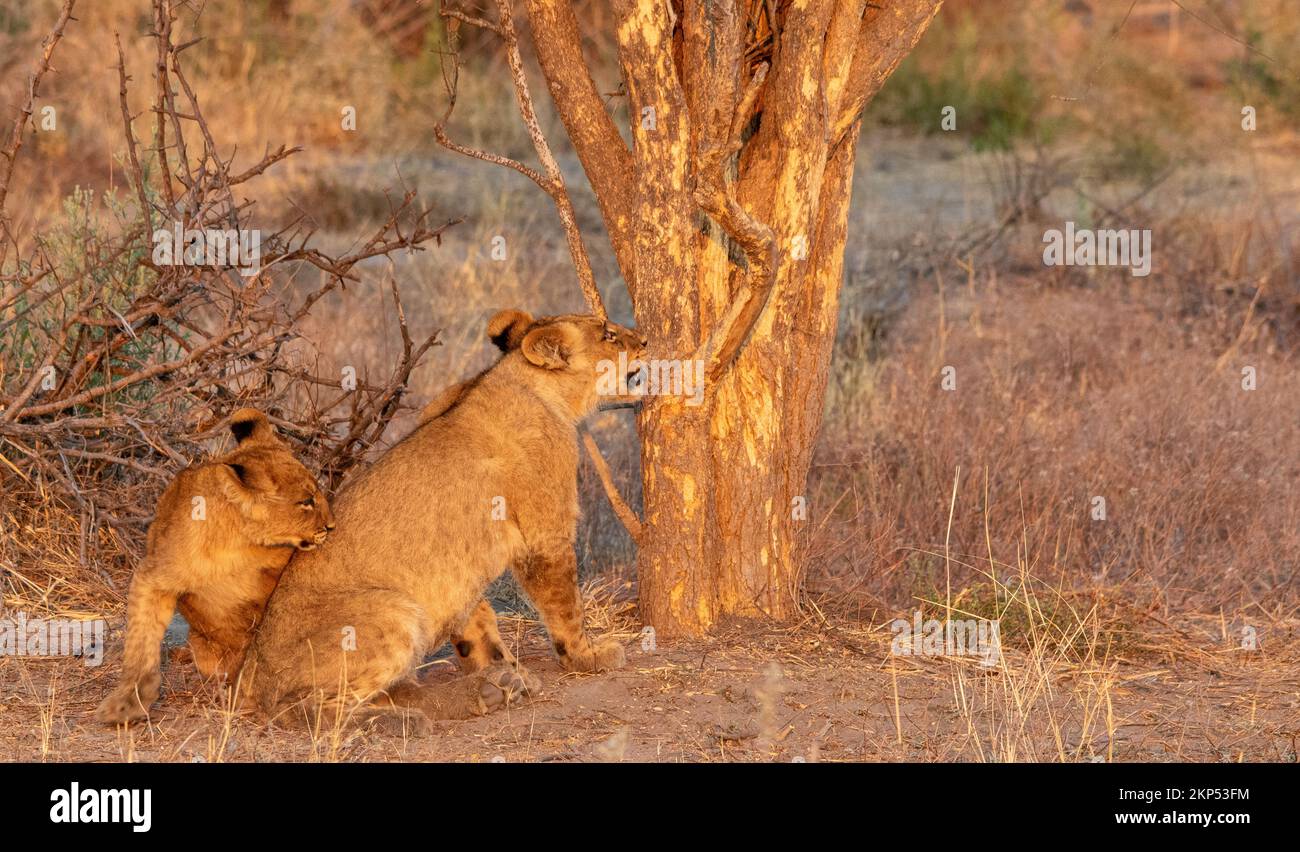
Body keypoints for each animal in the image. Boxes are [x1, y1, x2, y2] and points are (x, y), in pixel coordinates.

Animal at [95, 409, 335, 724]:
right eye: (306, 502)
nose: (332, 526)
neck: (239, 546)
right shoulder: (153, 576)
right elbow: (140, 641)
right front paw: (126, 704)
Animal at [245, 310, 645, 728]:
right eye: (609, 335)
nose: (646, 342)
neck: (540, 390)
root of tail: (251, 678)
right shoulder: (546, 533)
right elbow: (566, 607)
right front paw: (588, 657)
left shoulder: (460, 573)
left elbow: (477, 624)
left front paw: (504, 669)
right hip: (394, 613)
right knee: (304, 708)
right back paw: (401, 722)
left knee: (399, 690)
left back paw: (486, 691)